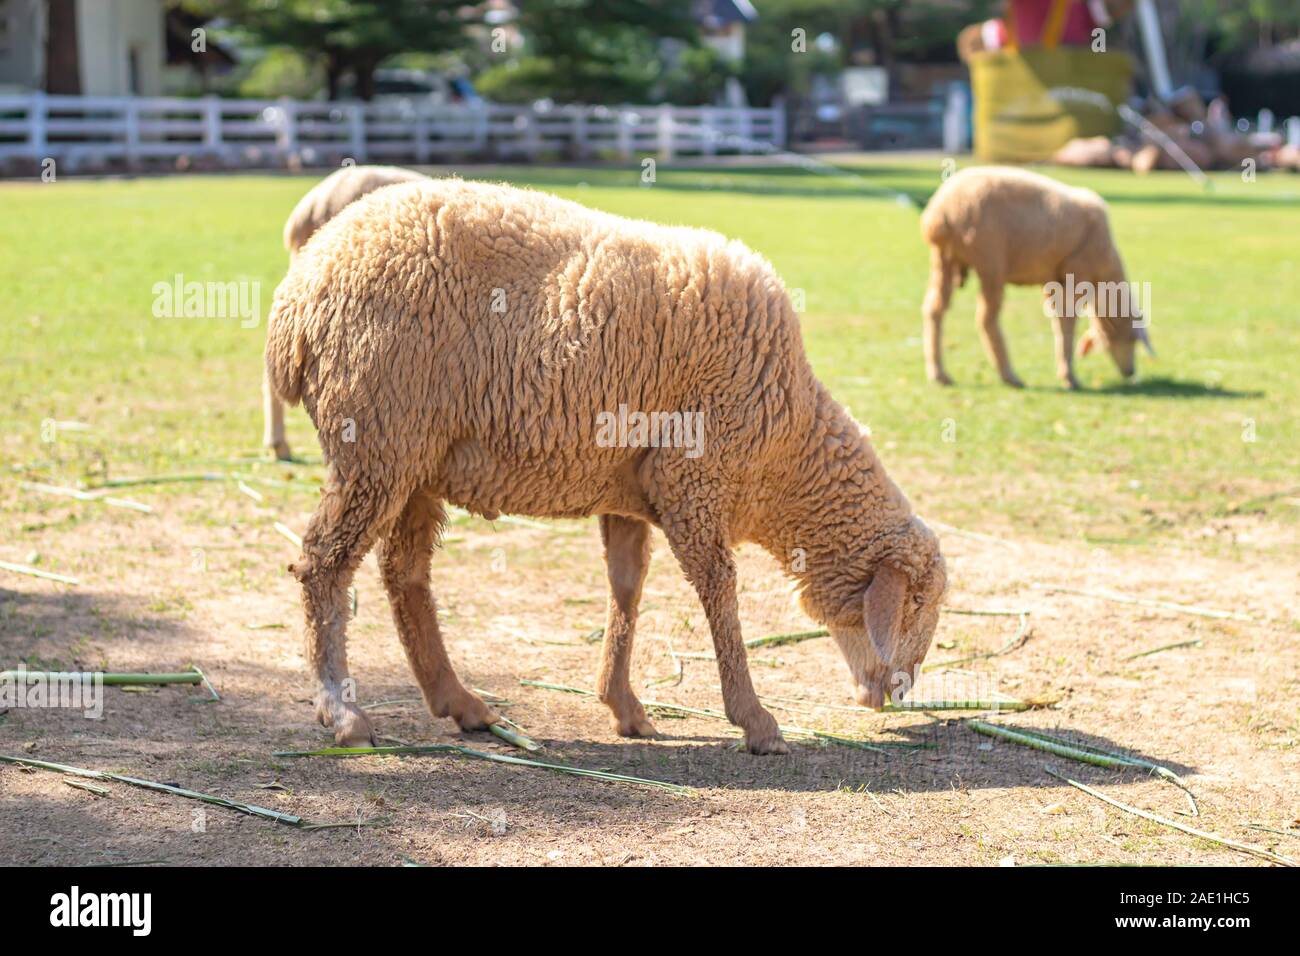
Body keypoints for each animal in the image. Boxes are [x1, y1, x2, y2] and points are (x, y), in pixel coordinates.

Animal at [919, 165, 1153, 390]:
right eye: (1131, 339)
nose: (1130, 372)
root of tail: (941, 212)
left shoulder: (1052, 281)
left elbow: (1057, 320)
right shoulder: (1076, 272)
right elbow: (1067, 322)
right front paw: (1070, 378)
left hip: (944, 259)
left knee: (934, 309)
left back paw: (939, 374)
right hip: (990, 259)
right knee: (986, 318)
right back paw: (1010, 376)